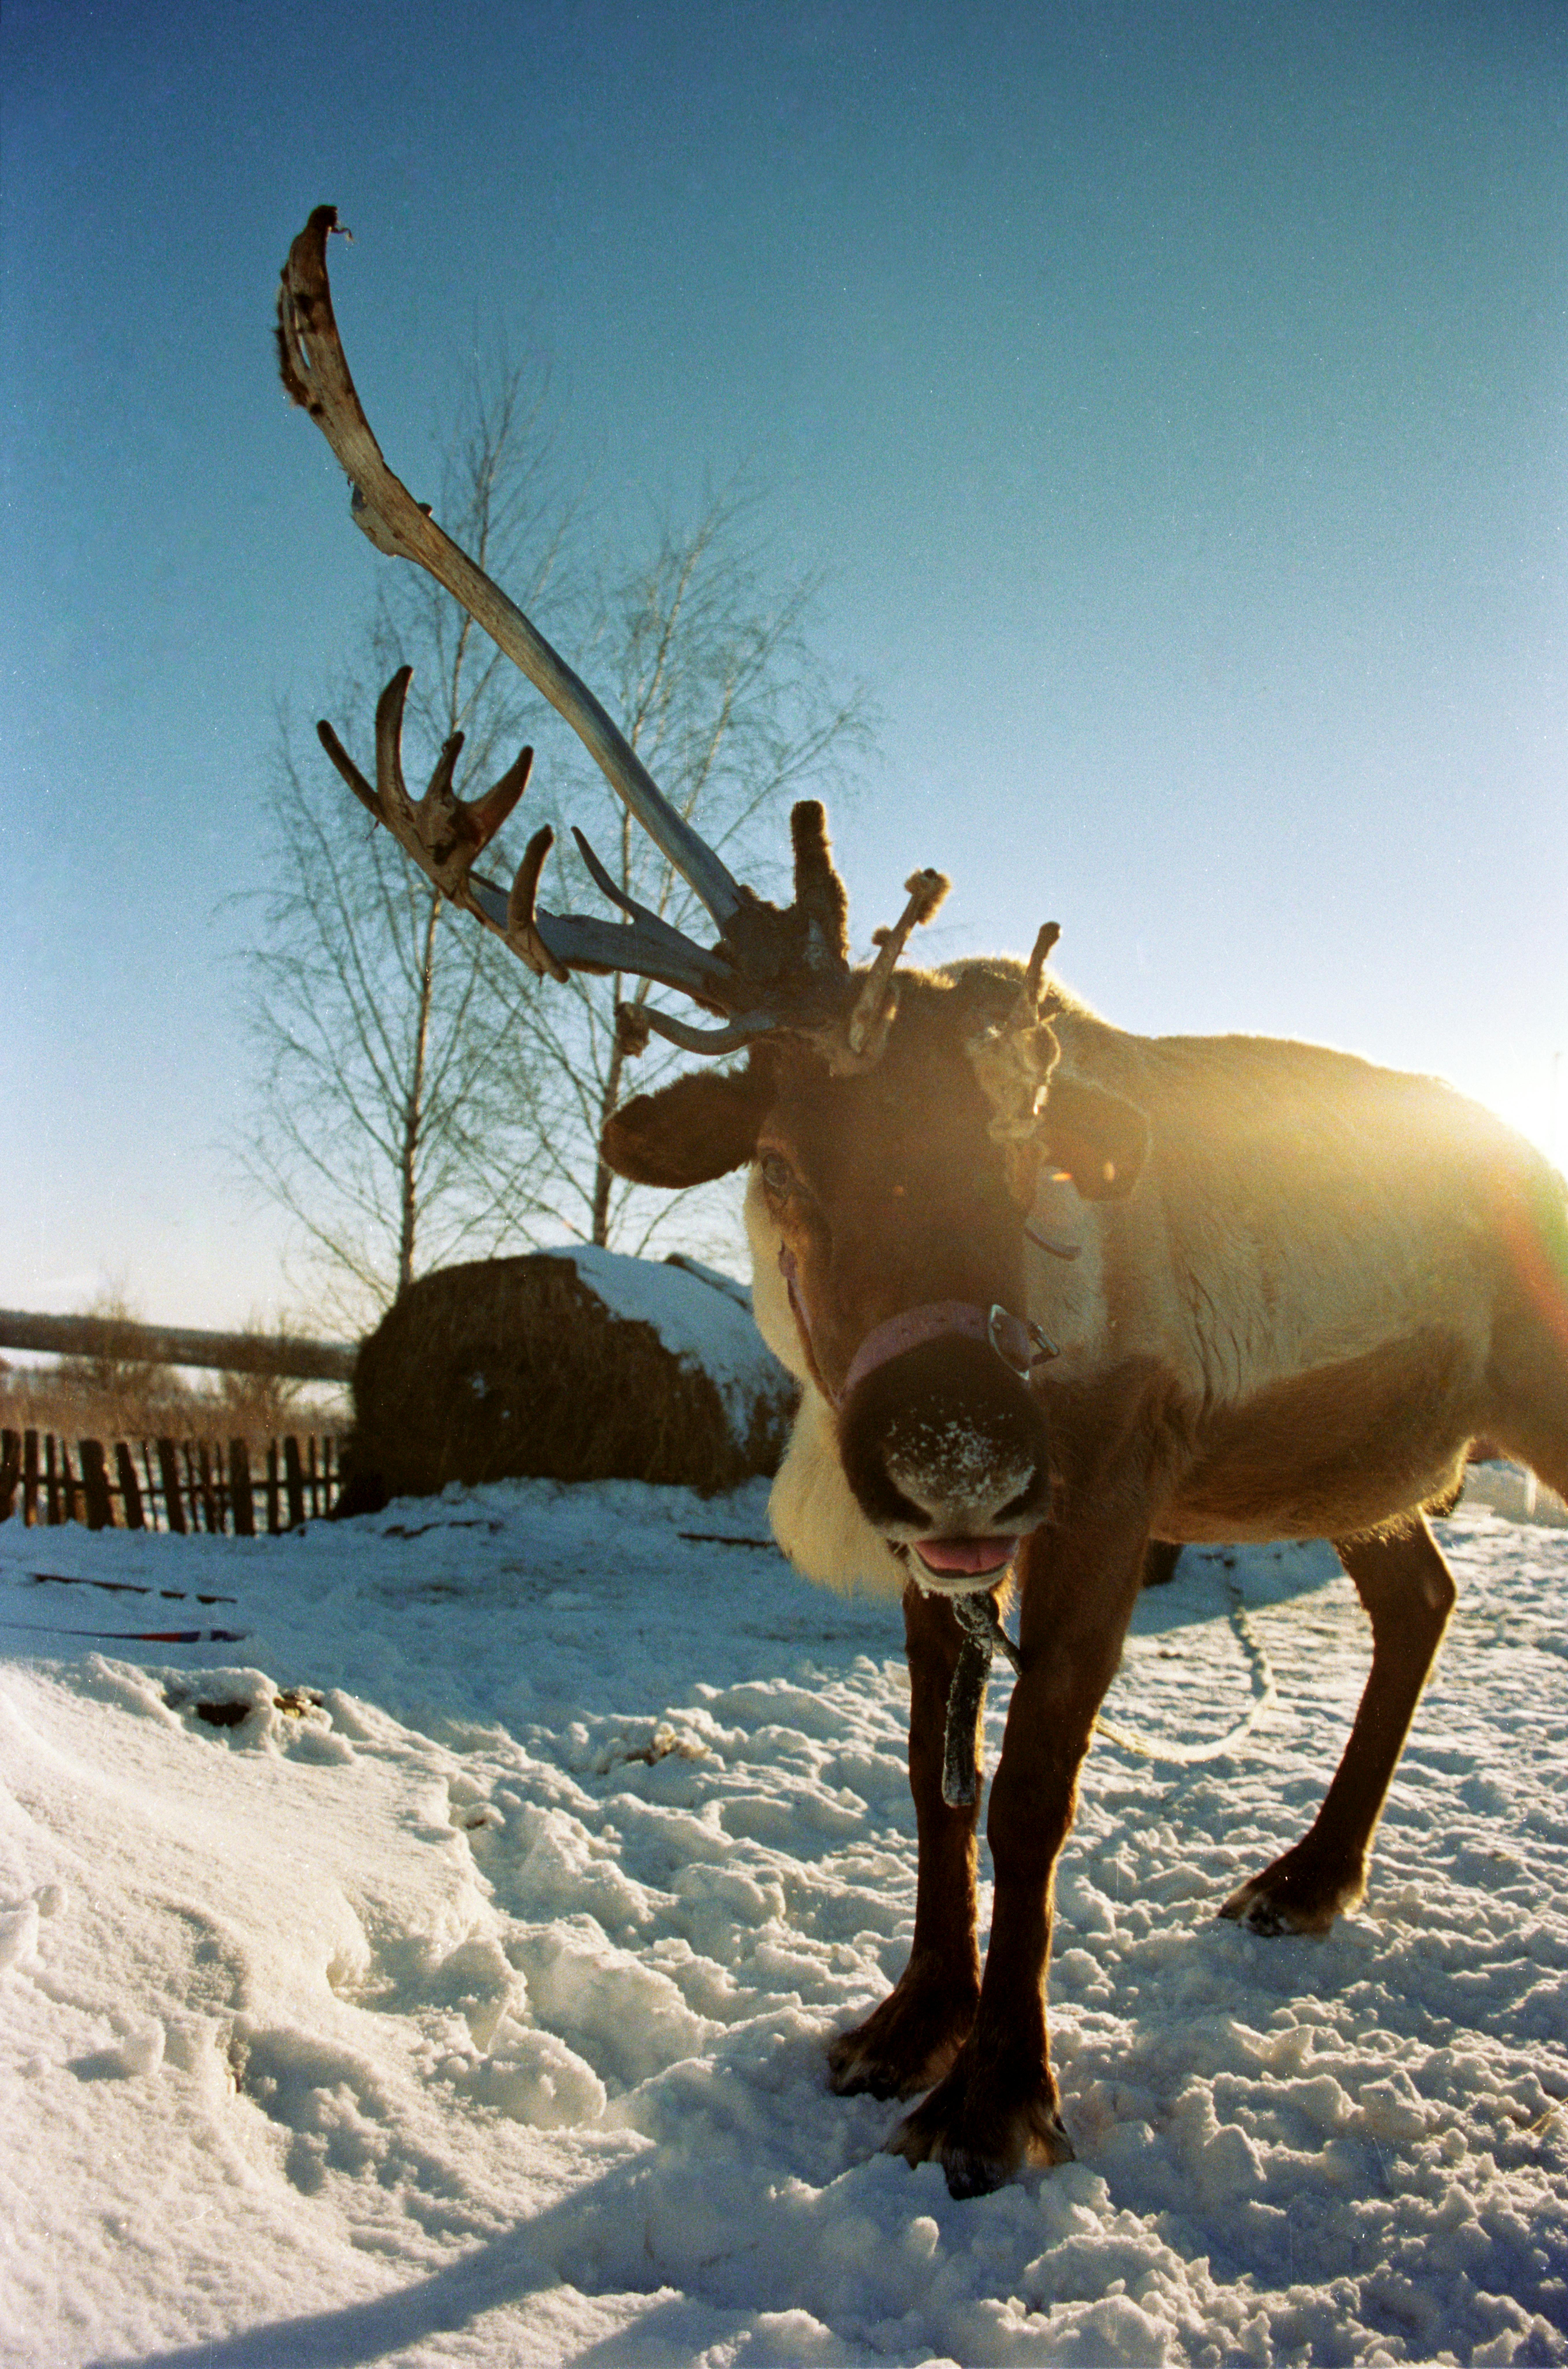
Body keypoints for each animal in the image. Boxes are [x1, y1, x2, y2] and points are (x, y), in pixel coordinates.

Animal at [278, 208, 1568, 2199]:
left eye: (1031, 1161)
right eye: (786, 1160)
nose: (961, 1445)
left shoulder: (1106, 1481)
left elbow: (1028, 1790)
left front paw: (1002, 2096)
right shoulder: (929, 1542)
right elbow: (924, 1772)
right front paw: (907, 2024)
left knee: (1419, 1598)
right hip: (1355, 1457)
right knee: (1419, 1596)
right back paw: (1304, 1878)